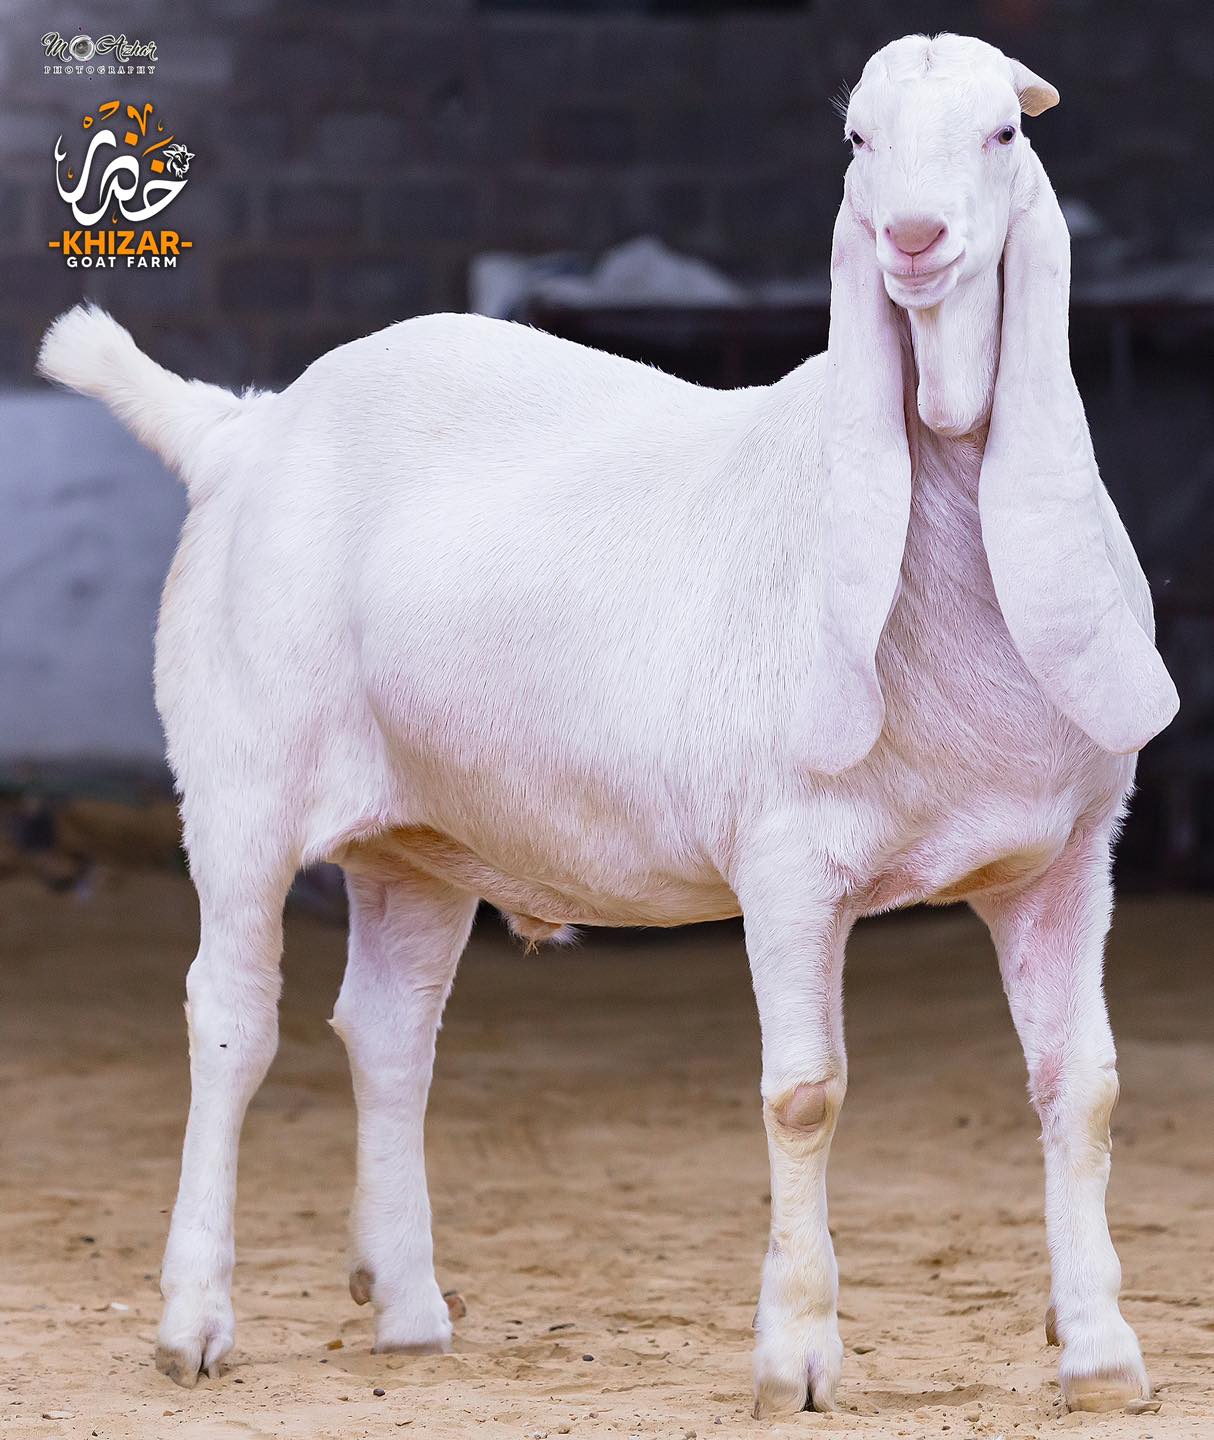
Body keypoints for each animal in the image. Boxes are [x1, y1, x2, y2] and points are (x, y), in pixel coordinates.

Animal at [38, 31, 1176, 1418]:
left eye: (1001, 136)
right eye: (856, 140)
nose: (912, 239)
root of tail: (243, 425)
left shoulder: (1064, 859)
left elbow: (1083, 1088)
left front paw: (1102, 1351)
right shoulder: (789, 860)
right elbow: (805, 1095)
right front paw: (795, 1358)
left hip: (418, 835)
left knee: (388, 1031)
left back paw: (407, 1308)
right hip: (239, 775)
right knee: (230, 1020)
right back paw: (195, 1320)